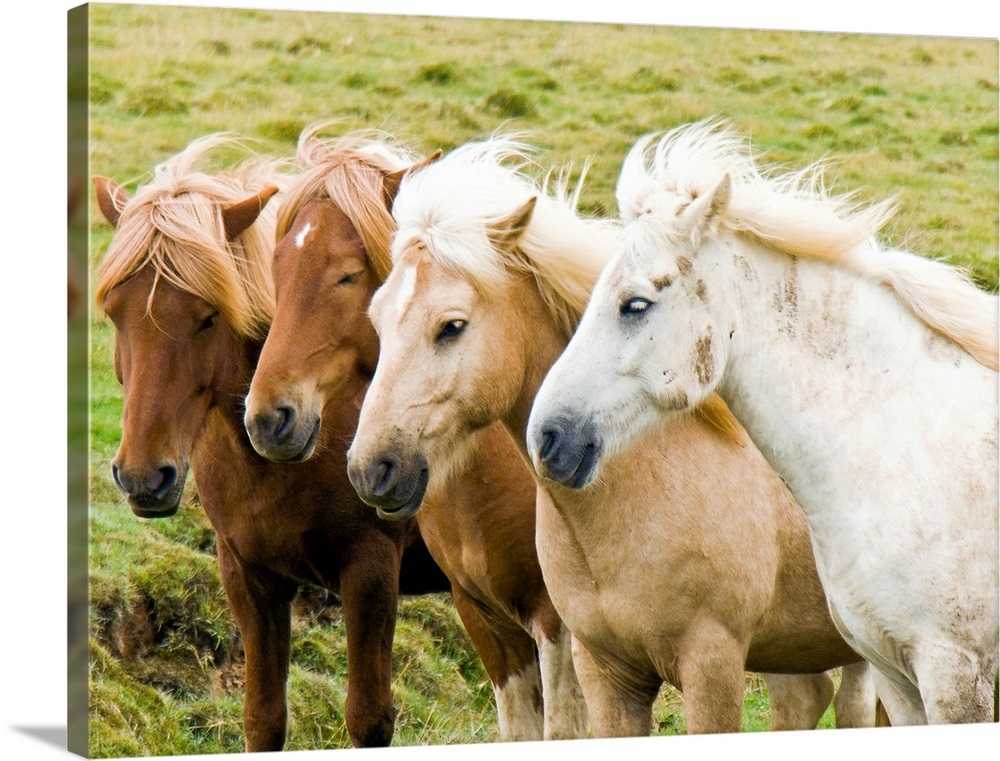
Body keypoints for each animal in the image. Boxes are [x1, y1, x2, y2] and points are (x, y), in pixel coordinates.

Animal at [92, 134, 452, 752]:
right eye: (115, 313)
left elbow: (369, 719)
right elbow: (262, 719)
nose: (143, 476)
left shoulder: (371, 572)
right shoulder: (247, 576)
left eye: (209, 316)